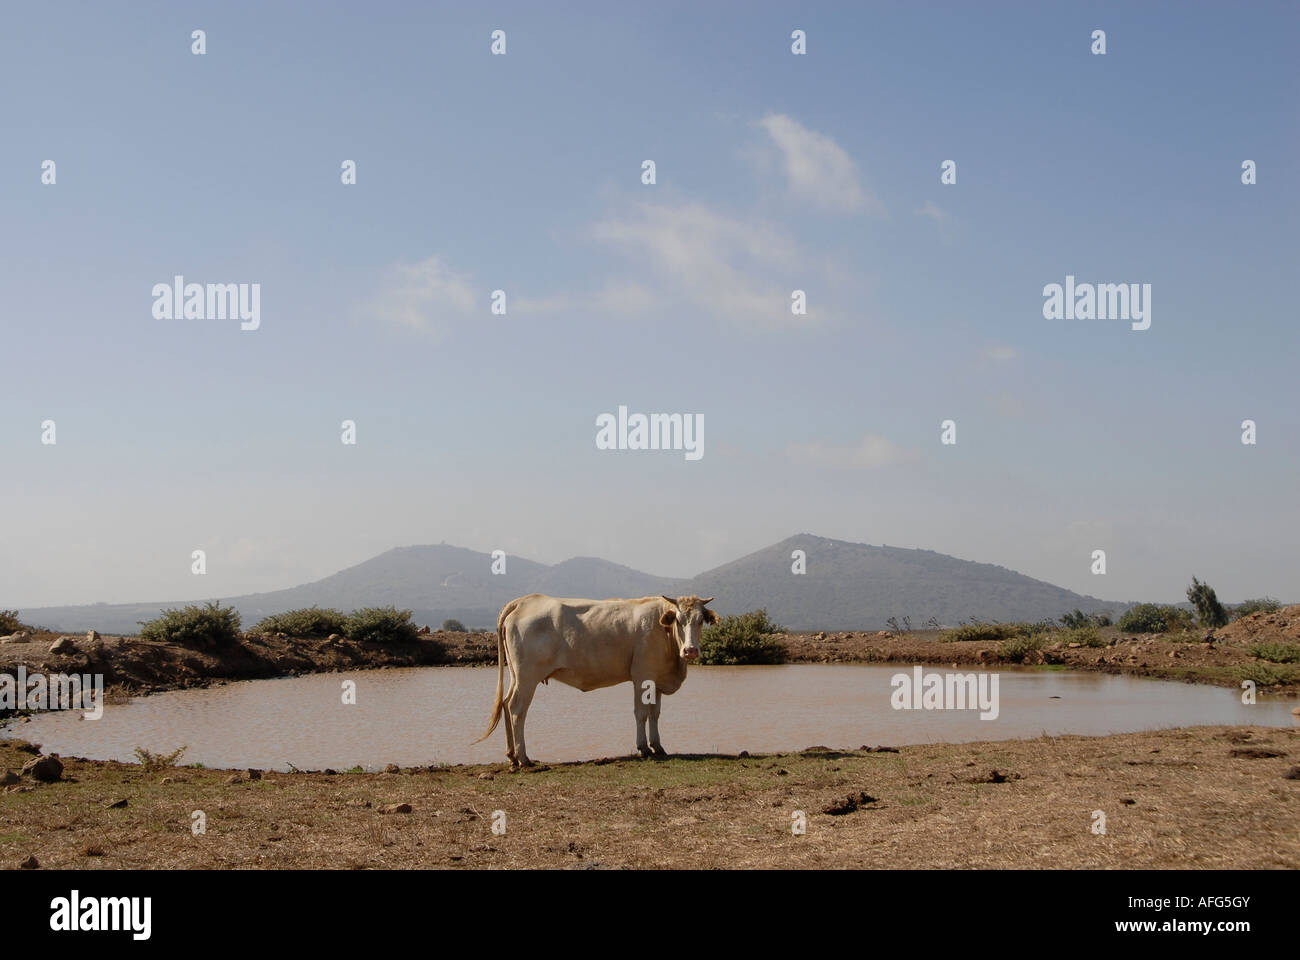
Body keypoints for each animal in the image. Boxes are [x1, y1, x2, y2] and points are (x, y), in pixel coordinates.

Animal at [474, 593, 719, 767]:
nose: (690, 651)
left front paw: (658, 746)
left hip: (516, 675)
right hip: (527, 676)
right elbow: (641, 713)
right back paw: (523, 758)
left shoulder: (656, 679)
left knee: (506, 704)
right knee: (517, 708)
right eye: (679, 620)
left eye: (700, 621)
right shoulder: (642, 675)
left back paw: (511, 755)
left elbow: (654, 713)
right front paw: (643, 748)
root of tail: (525, 600)